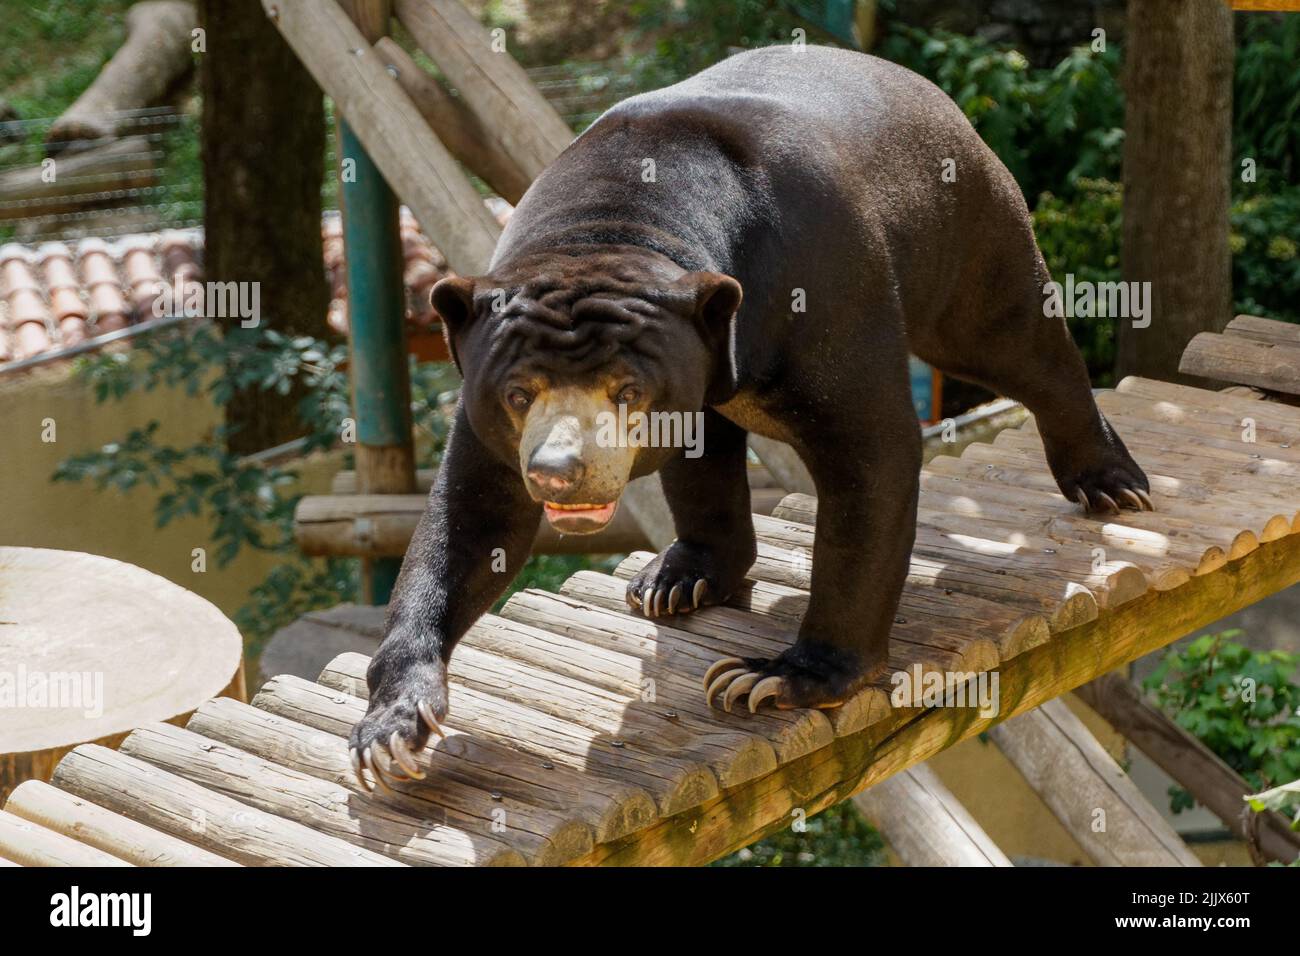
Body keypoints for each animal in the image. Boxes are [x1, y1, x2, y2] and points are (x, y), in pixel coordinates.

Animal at [347, 44, 1150, 789]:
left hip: (962, 226)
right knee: (706, 459)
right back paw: (678, 580)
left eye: (625, 391)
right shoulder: (492, 407)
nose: (558, 474)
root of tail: (916, 82)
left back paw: (1112, 482)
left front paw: (773, 677)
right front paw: (392, 730)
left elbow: (871, 459)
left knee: (1015, 339)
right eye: (520, 394)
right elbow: (473, 516)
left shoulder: (825, 288)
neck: (616, 221)